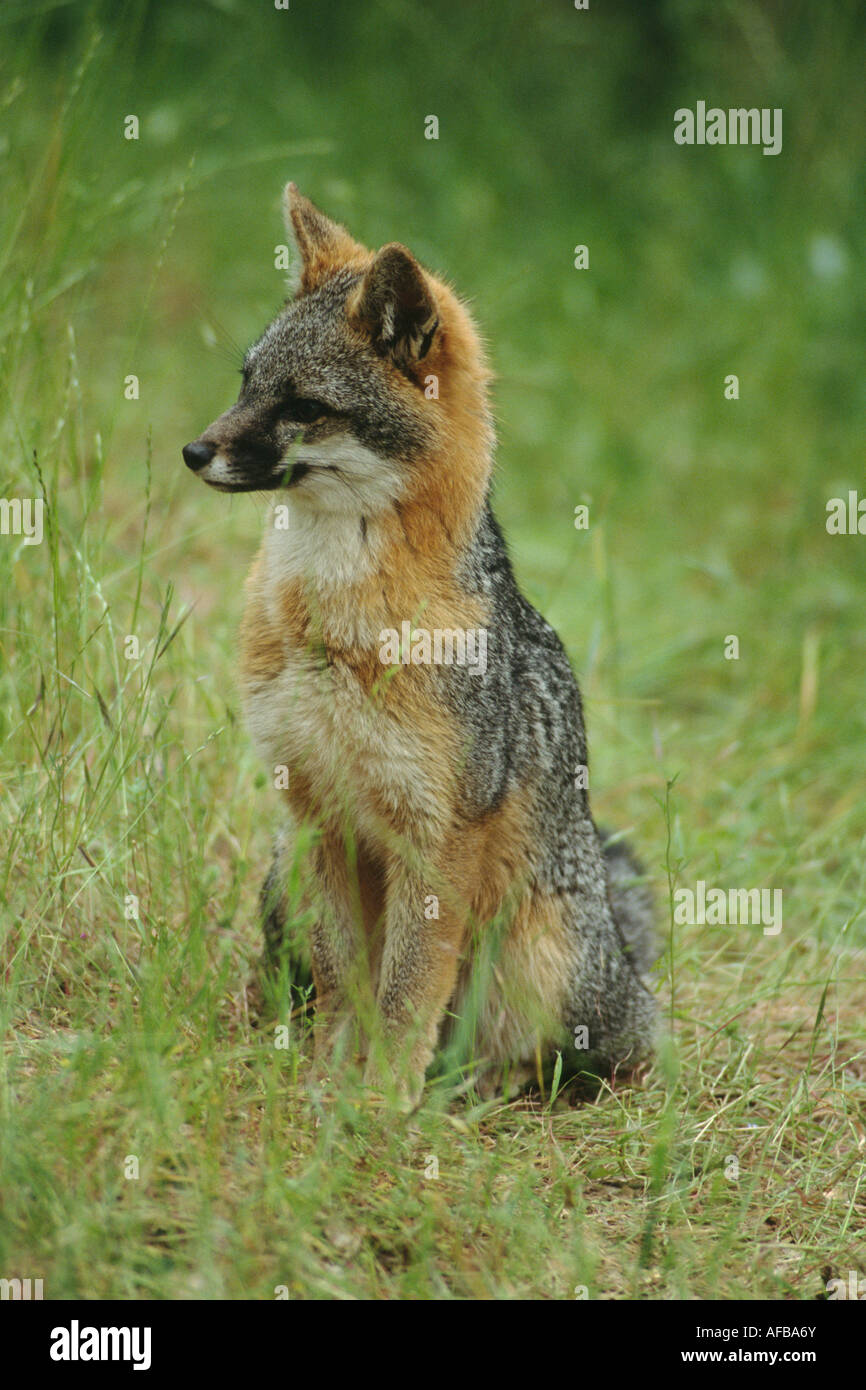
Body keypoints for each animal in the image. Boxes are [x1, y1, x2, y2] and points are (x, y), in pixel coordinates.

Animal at [183, 184, 656, 1109]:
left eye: (303, 406)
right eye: (246, 383)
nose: (193, 451)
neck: (331, 626)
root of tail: (624, 955)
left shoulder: (437, 837)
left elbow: (409, 988)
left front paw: (380, 1103)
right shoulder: (317, 814)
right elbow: (345, 981)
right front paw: (331, 1079)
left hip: (542, 961)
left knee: (553, 1056)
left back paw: (467, 1091)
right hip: (281, 872)